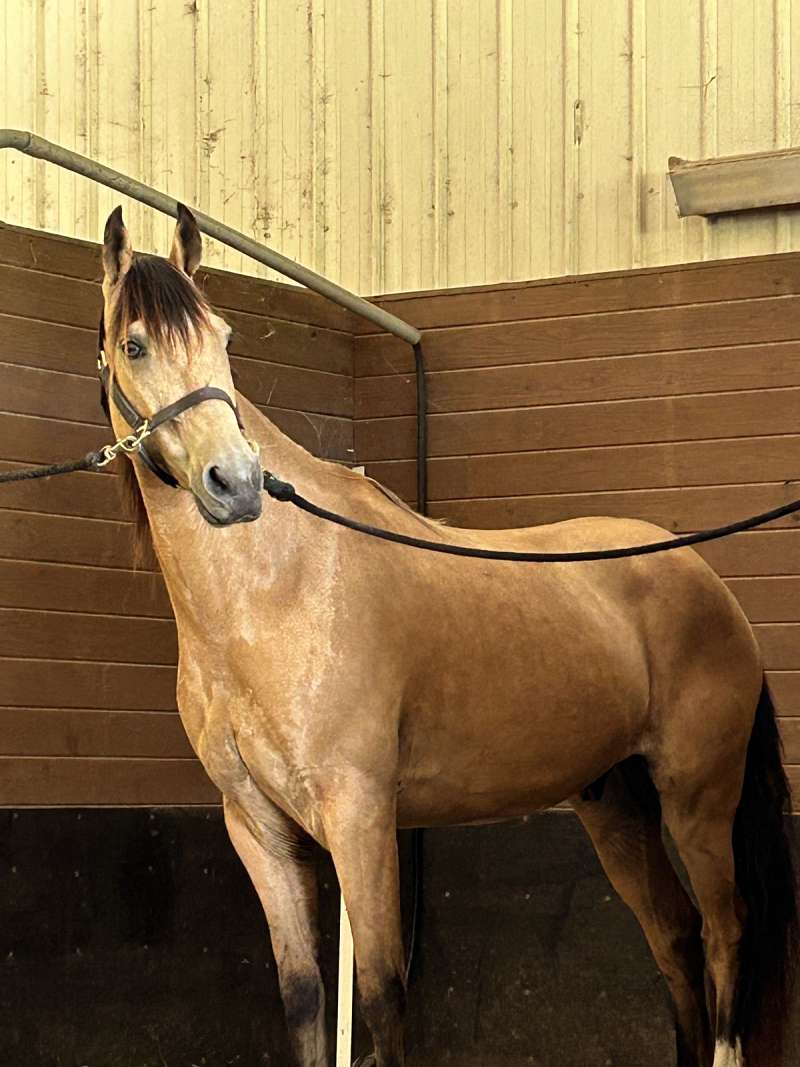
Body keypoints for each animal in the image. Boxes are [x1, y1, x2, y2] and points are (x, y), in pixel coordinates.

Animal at [97, 204, 797, 1067]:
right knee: (675, 935)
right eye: (135, 344)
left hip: (699, 801)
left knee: (726, 934)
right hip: (617, 806)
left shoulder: (361, 816)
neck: (273, 590)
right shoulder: (256, 828)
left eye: (225, 339)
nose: (235, 483)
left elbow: (382, 995)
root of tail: (714, 588)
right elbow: (305, 998)